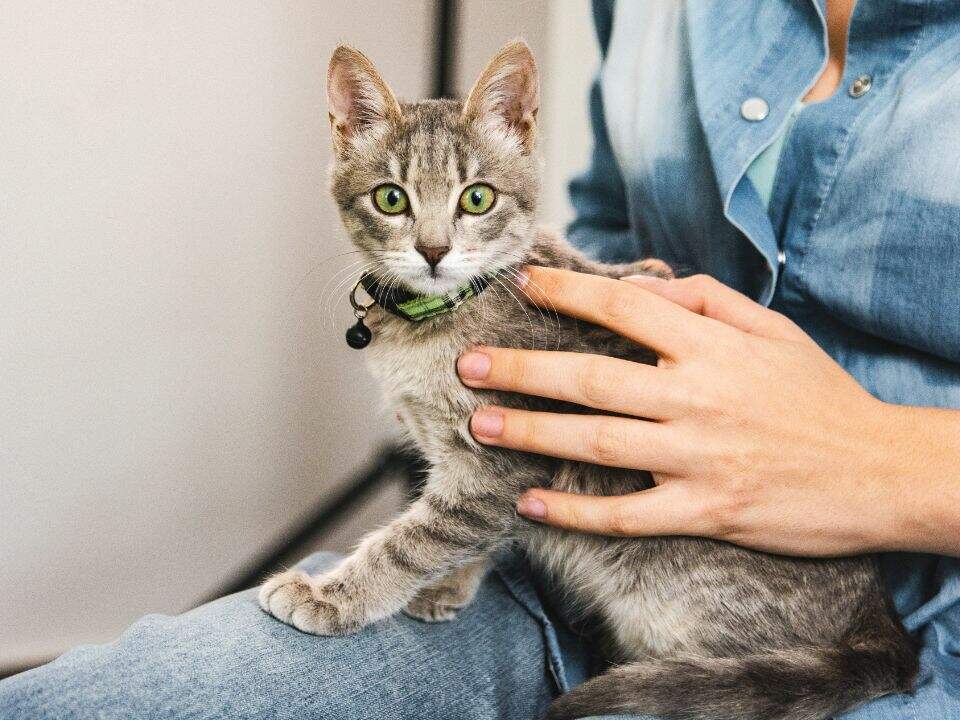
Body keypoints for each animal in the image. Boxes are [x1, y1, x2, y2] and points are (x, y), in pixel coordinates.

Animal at [258, 42, 920, 720]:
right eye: (391, 199)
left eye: (477, 199)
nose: (434, 251)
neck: (437, 322)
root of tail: (880, 621)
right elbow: (469, 532)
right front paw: (450, 583)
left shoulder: (503, 458)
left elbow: (418, 537)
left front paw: (332, 596)